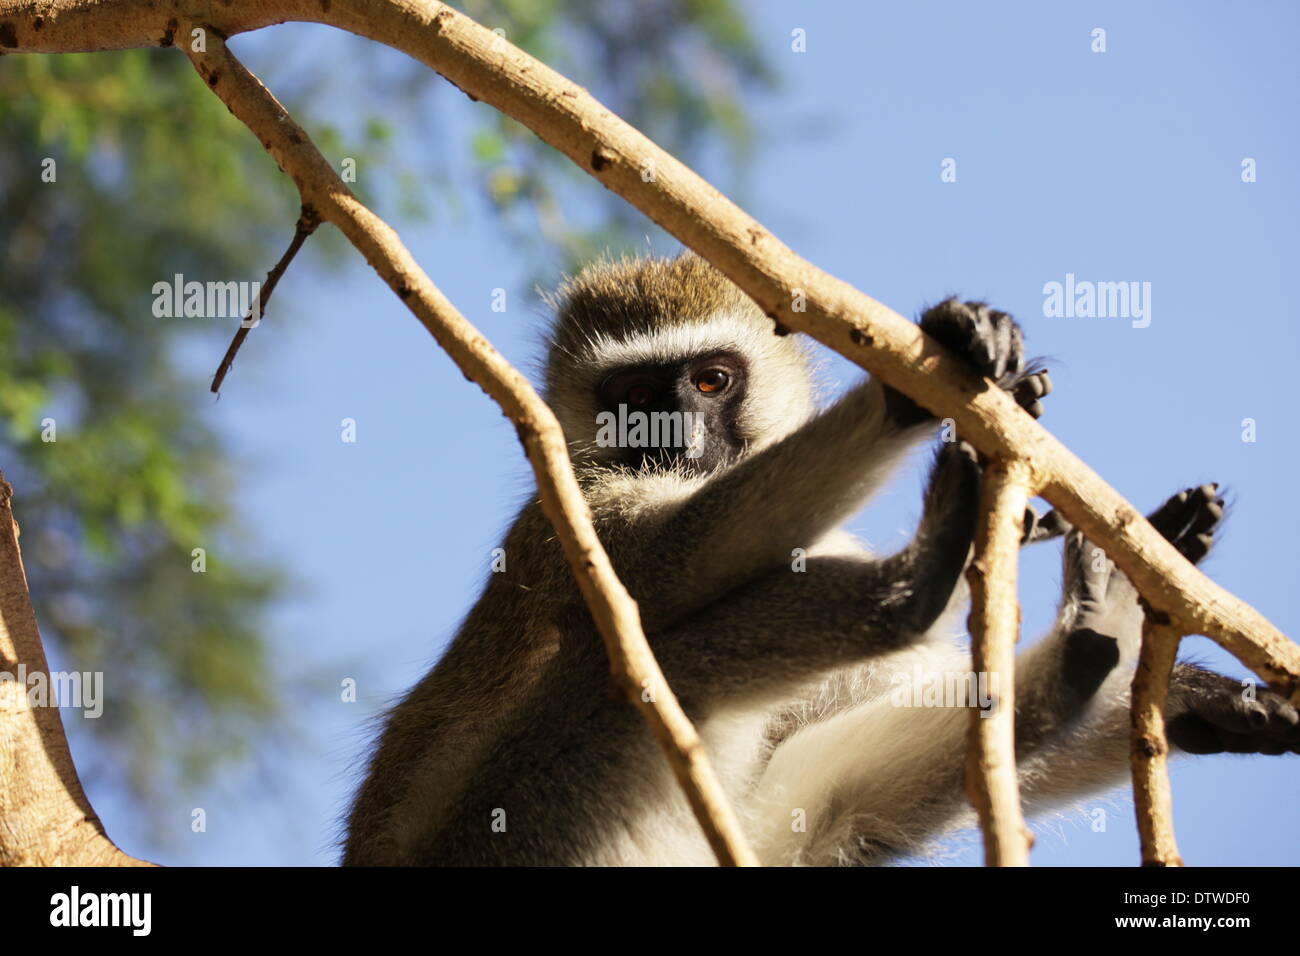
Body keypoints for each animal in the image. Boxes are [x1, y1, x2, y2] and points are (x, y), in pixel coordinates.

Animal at [343, 252, 1299, 866]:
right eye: (634, 396)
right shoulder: (565, 513)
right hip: (512, 829)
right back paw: (916, 589)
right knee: (656, 658)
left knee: (855, 805)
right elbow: (657, 569)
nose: (674, 441)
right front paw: (909, 392)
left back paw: (1097, 644)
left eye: (709, 382)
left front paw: (1204, 696)